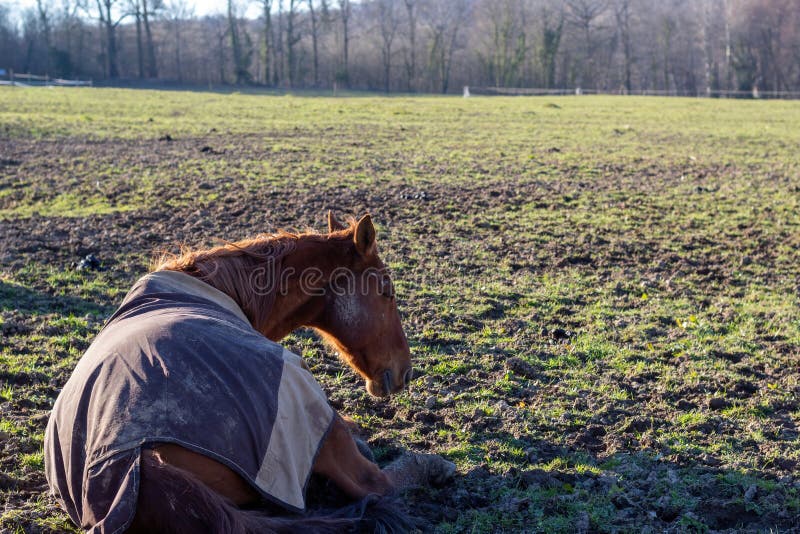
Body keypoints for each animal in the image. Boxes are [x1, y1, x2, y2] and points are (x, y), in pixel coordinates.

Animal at [44, 212, 456, 533]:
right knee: (378, 482)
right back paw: (435, 466)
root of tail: (135, 464)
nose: (405, 372)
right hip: (302, 395)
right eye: (387, 292)